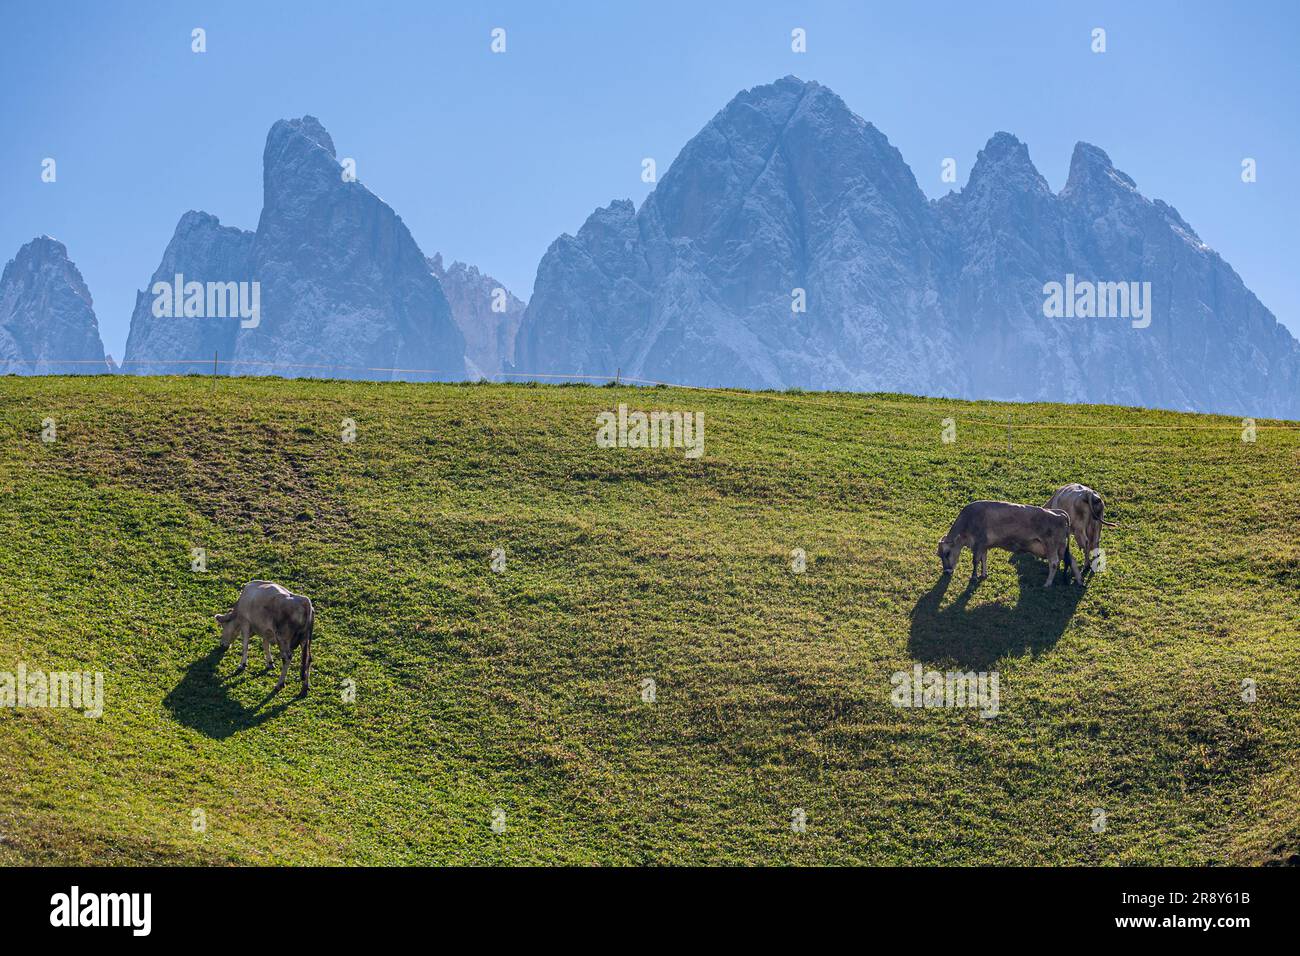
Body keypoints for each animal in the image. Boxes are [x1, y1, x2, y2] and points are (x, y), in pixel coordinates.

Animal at [937, 500, 1082, 587]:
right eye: (939, 555)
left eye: (947, 553)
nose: (946, 571)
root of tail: (1059, 513)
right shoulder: (984, 545)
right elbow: (984, 559)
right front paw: (983, 574)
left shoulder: (978, 544)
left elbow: (976, 561)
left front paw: (973, 577)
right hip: (1061, 547)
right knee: (1072, 560)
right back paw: (1080, 581)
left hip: (1051, 546)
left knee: (1054, 563)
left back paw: (1047, 583)